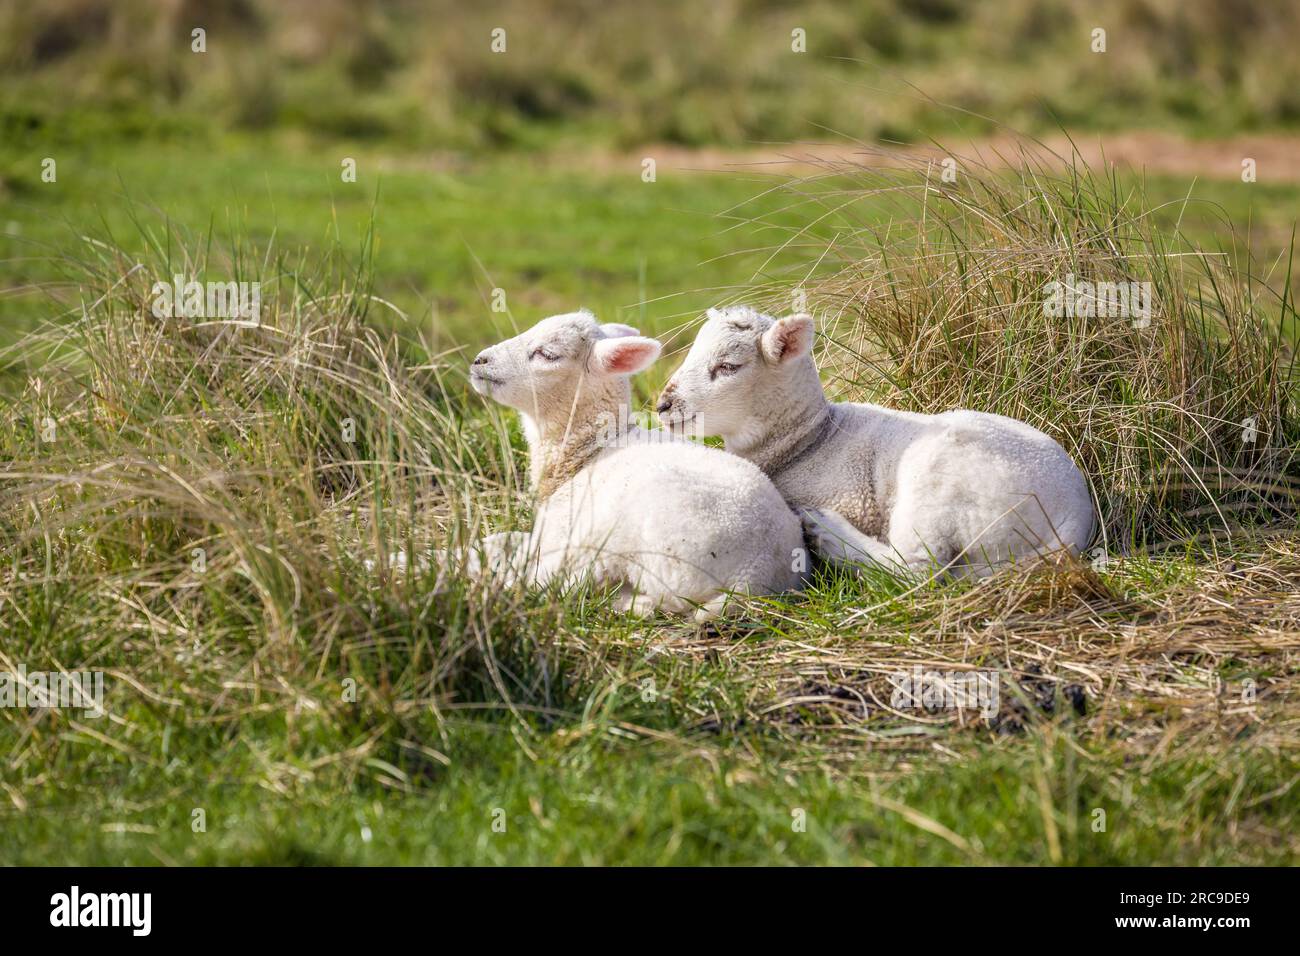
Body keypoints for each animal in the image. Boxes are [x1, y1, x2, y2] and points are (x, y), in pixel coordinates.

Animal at [458, 310, 805, 619]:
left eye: (547, 353)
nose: (479, 361)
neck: (586, 453)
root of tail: (757, 571)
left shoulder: (563, 536)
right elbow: (503, 540)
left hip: (648, 548)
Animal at [656, 306, 1096, 578]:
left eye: (728, 366)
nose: (662, 405)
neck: (808, 440)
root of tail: (1074, 519)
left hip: (939, 489)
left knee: (917, 570)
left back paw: (826, 533)